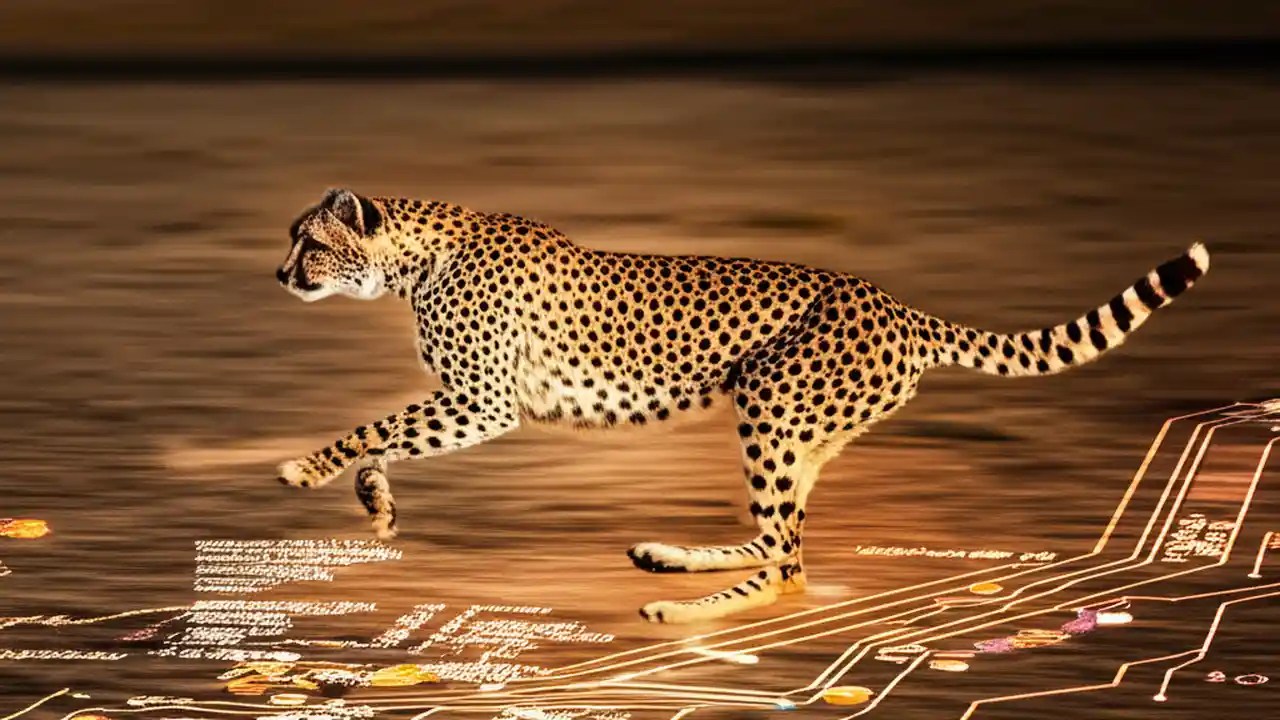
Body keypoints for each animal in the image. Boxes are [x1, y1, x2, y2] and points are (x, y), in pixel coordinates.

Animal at [274, 188, 1210, 624]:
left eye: (310, 243)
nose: (279, 275)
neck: (418, 254)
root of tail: (896, 303)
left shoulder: (484, 401)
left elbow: (374, 426)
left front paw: (307, 468)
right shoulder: (474, 403)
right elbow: (387, 439)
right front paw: (376, 503)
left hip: (771, 406)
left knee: (784, 553)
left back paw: (675, 595)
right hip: (801, 433)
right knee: (788, 549)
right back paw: (668, 566)